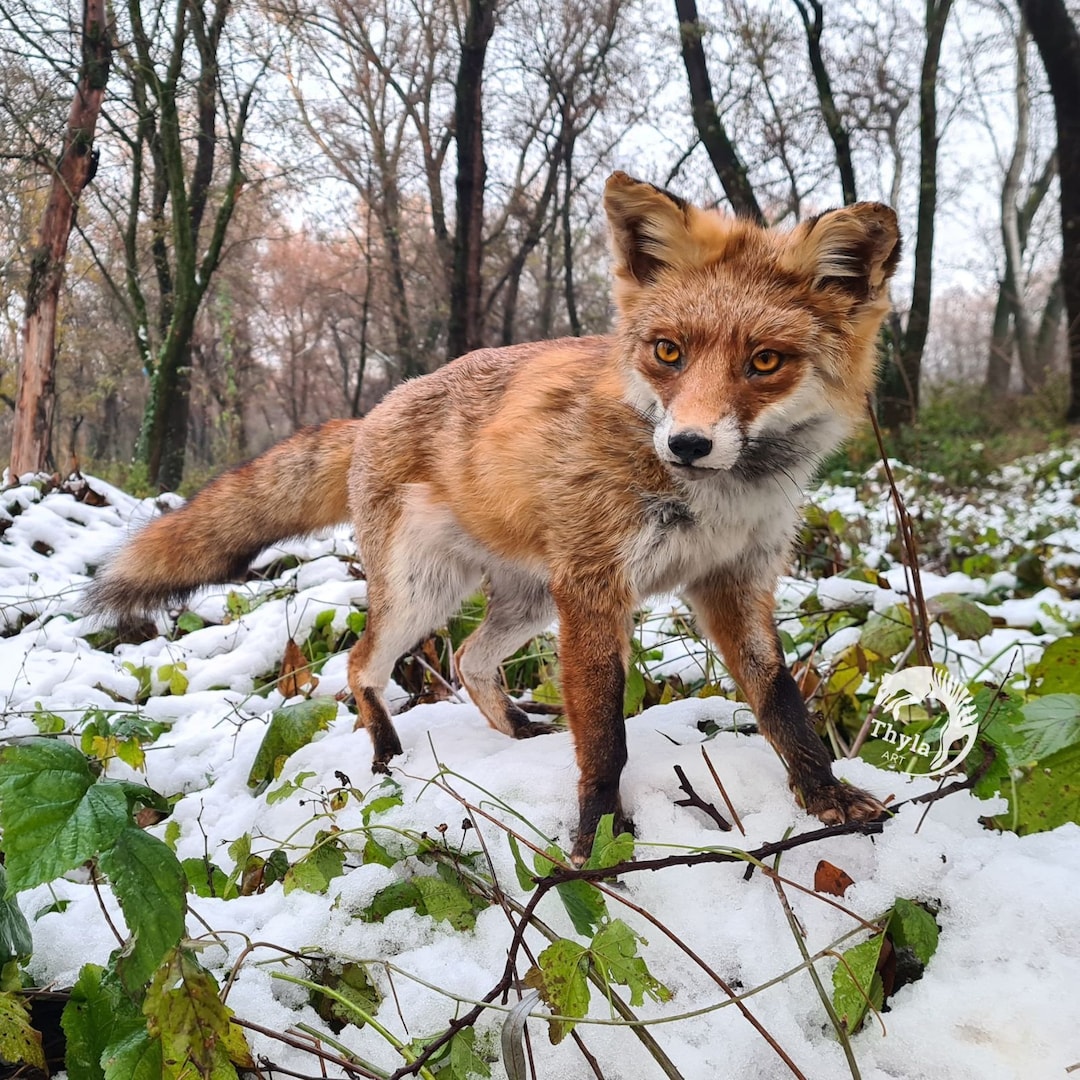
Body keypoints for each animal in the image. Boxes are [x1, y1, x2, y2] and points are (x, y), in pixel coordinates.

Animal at [89, 172, 900, 862]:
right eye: (668, 352)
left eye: (765, 362)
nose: (688, 444)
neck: (720, 501)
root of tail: (372, 411)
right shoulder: (594, 589)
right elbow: (605, 739)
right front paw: (598, 839)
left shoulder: (735, 581)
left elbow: (781, 703)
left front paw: (825, 795)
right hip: (425, 594)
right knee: (358, 664)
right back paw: (385, 753)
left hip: (528, 601)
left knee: (467, 661)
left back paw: (515, 731)